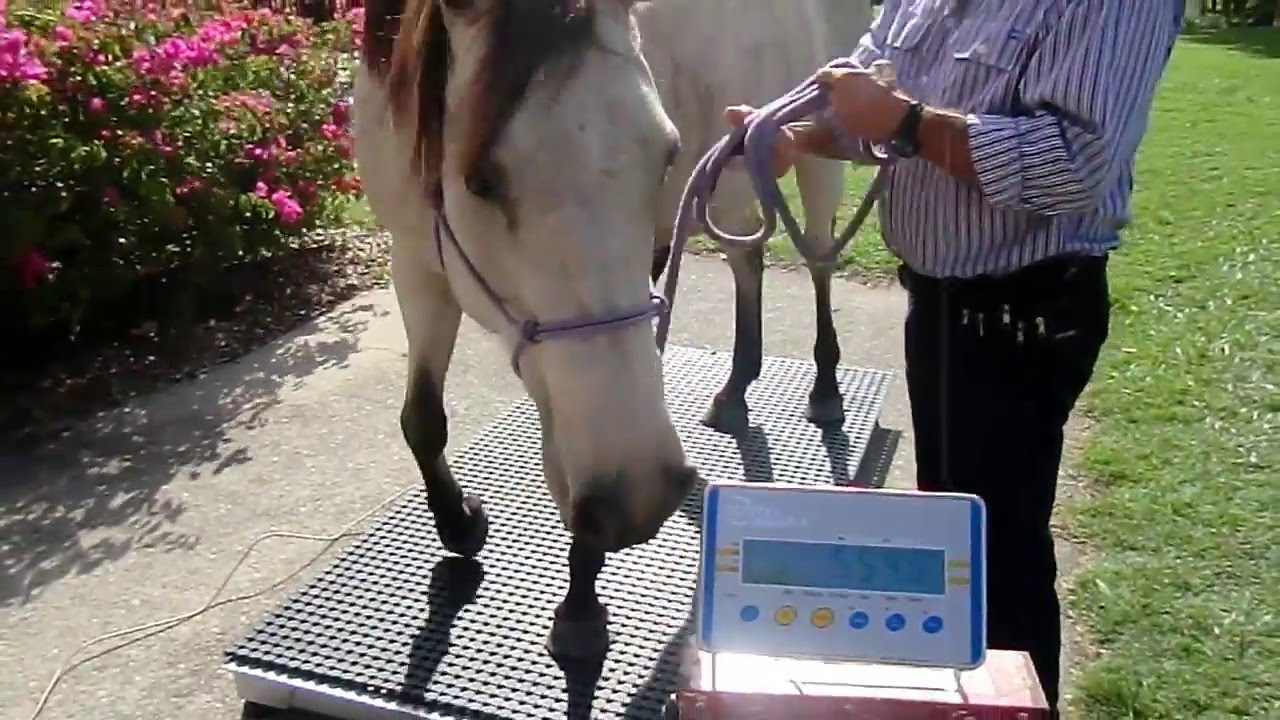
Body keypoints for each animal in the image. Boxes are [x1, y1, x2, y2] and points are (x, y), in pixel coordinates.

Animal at [353, 0, 696, 661]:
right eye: (480, 180)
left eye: (668, 155)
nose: (643, 495)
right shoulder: (416, 255)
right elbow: (422, 420)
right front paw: (457, 524)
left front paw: (581, 601)